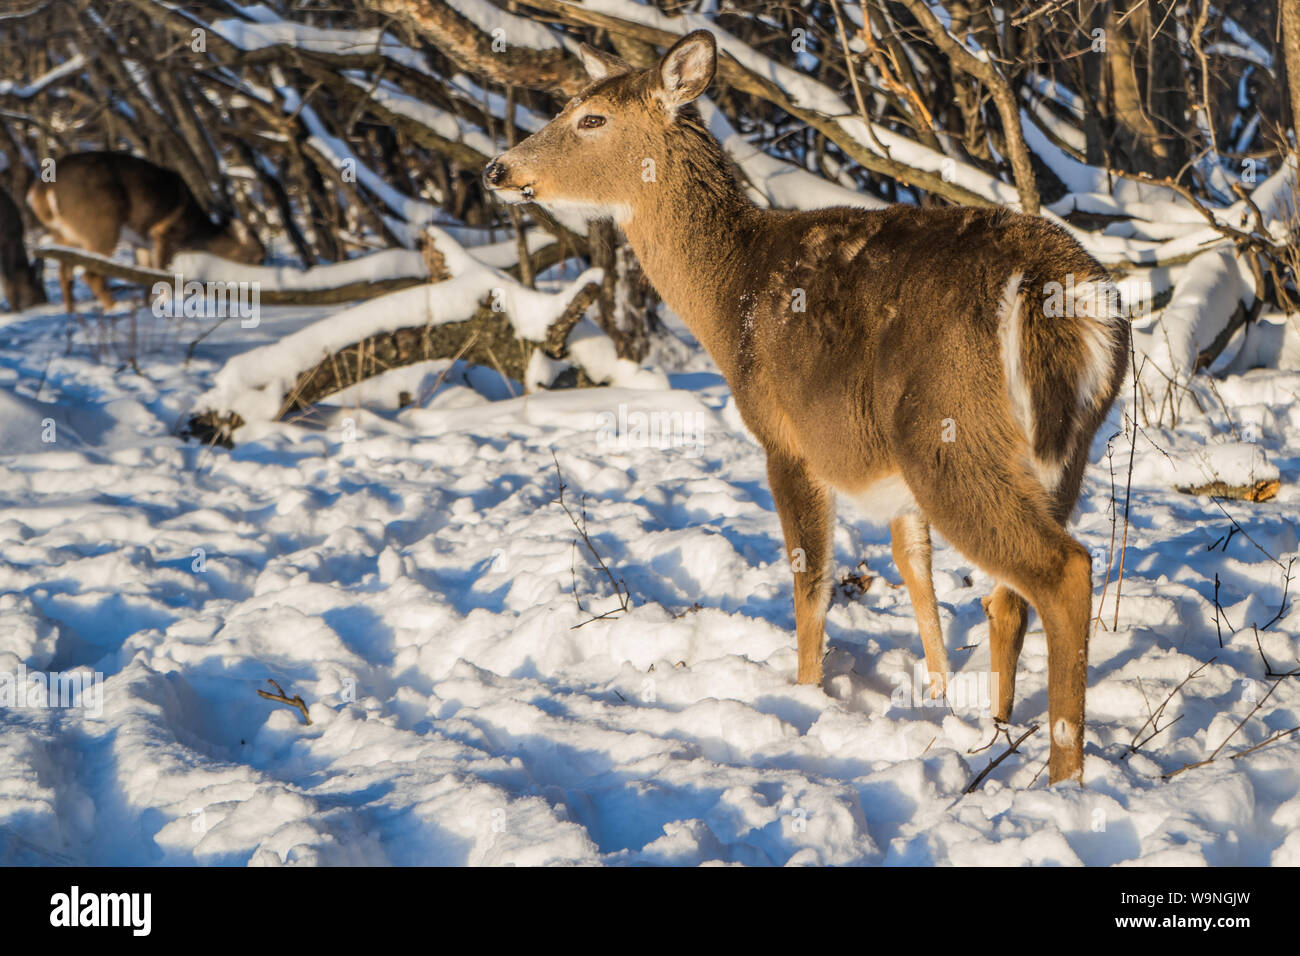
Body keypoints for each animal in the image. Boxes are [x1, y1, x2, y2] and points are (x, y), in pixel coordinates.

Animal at [26, 151, 264, 311]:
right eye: (258, 257)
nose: (260, 275)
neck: (193, 230)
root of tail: (41, 189)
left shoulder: (141, 242)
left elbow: (146, 273)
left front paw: (149, 304)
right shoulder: (163, 235)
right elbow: (163, 274)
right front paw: (167, 303)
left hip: (68, 233)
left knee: (64, 270)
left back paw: (72, 312)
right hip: (101, 225)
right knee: (89, 273)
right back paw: (115, 308)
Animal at [483, 31, 1129, 784]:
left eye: (591, 118)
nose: (497, 169)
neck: (727, 298)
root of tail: (1059, 297)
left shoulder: (785, 438)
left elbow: (811, 579)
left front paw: (805, 697)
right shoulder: (889, 473)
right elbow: (916, 571)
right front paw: (938, 695)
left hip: (948, 432)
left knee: (1061, 571)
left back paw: (1062, 778)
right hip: (1054, 454)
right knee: (1008, 594)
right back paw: (998, 731)